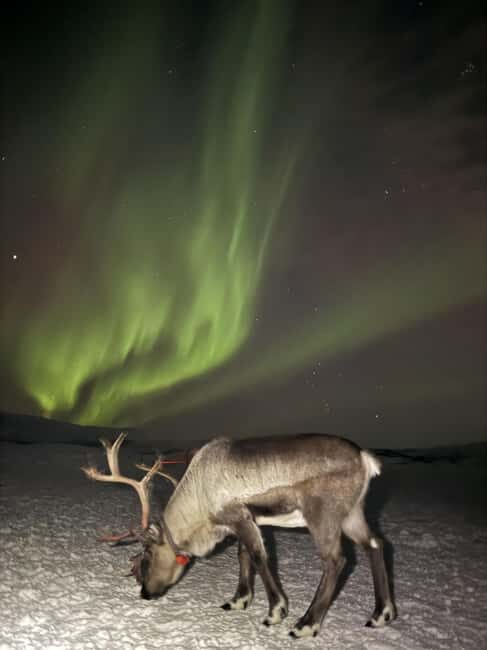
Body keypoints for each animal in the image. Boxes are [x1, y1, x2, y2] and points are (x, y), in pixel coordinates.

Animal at [82, 431, 396, 639]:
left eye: (146, 555)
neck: (199, 506)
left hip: (323, 515)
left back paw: (305, 624)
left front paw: (275, 611)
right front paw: (239, 600)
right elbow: (243, 555)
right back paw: (381, 614)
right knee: (376, 544)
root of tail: (366, 459)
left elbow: (258, 557)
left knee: (336, 560)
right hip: (353, 513)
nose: (145, 593)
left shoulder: (239, 516)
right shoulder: (246, 523)